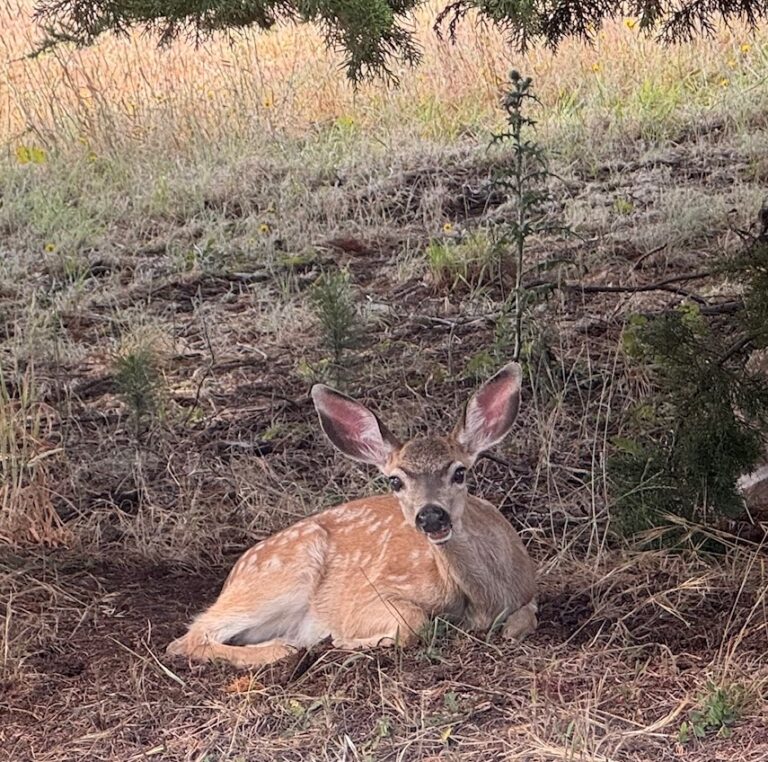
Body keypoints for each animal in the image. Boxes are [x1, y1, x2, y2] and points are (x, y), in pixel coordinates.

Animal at [166, 363, 537, 668]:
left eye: (460, 472)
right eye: (395, 481)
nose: (431, 516)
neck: (487, 600)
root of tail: (233, 575)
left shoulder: (529, 594)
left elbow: (524, 620)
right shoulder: (369, 595)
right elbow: (413, 623)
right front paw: (345, 640)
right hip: (281, 574)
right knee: (188, 636)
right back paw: (284, 648)